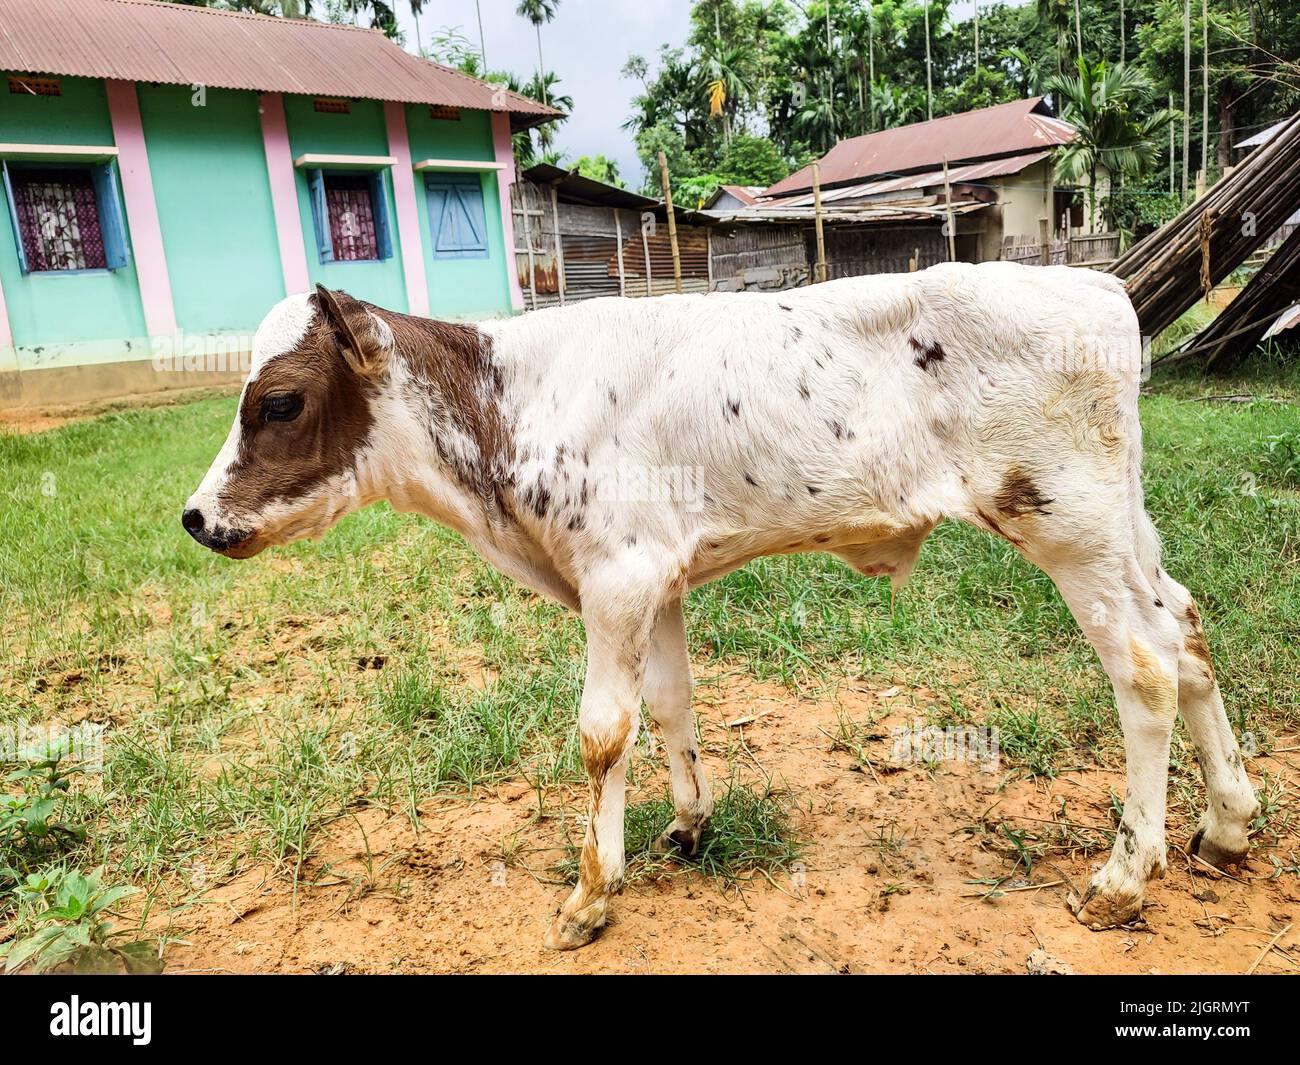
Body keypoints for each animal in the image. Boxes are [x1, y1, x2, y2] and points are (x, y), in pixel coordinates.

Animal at [183, 265, 1259, 950]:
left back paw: (1123, 878)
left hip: (1070, 528)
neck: (506, 404)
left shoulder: (615, 575)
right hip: (1125, 528)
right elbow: (670, 705)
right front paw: (689, 823)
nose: (196, 517)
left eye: (279, 401)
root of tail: (1095, 286)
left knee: (1144, 668)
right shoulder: (654, 579)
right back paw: (1227, 825)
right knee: (1188, 631)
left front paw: (590, 893)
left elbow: (601, 732)